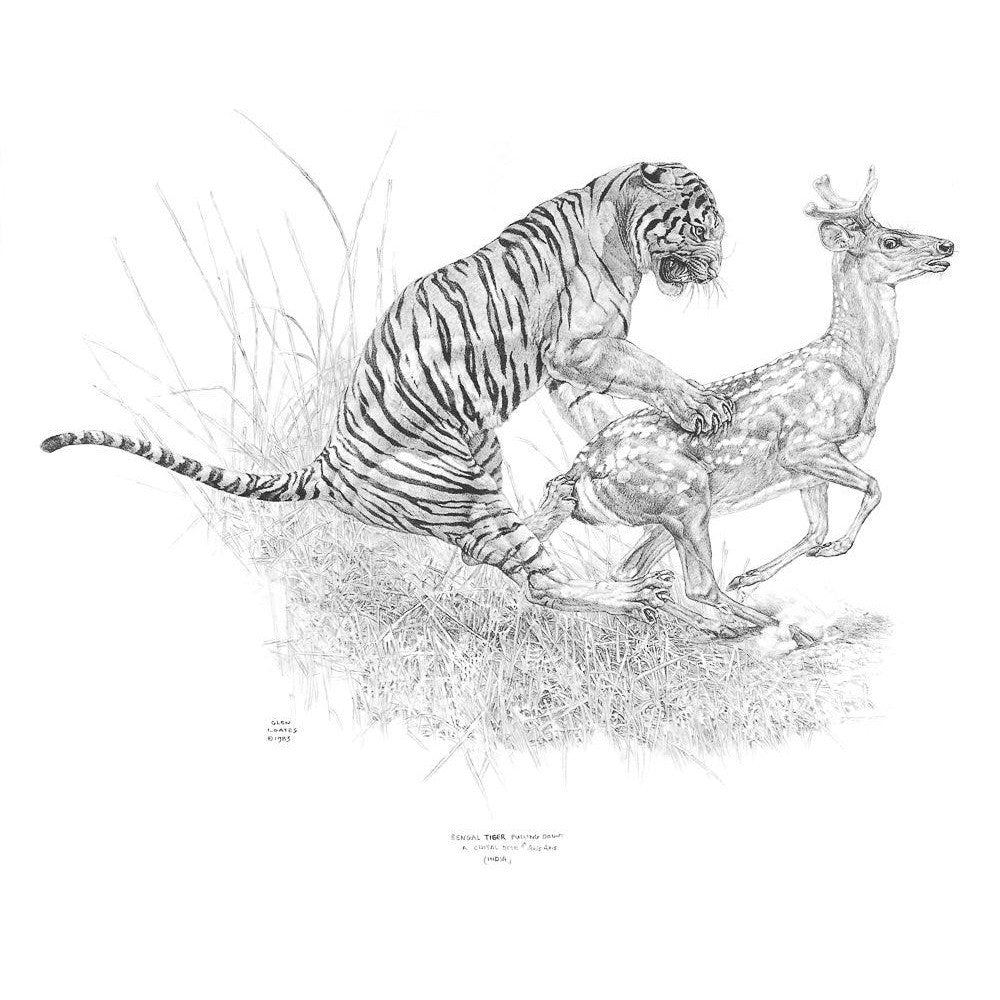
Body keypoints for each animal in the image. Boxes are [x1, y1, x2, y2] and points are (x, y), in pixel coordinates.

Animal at [42, 161, 732, 619]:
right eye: (703, 230)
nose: (718, 268)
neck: (616, 233)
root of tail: (325, 466)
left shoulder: (572, 368)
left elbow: (600, 409)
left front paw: (621, 446)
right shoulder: (580, 348)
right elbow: (650, 368)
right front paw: (699, 403)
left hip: (482, 463)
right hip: (467, 502)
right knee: (536, 580)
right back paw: (629, 594)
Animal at [524, 169, 954, 641]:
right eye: (891, 241)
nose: (946, 246)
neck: (857, 370)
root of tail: (580, 469)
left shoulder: (805, 473)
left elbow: (816, 527)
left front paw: (754, 575)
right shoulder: (804, 446)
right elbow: (874, 487)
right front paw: (836, 549)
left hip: (671, 513)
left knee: (631, 569)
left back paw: (720, 624)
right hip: (684, 498)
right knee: (697, 584)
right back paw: (776, 628)